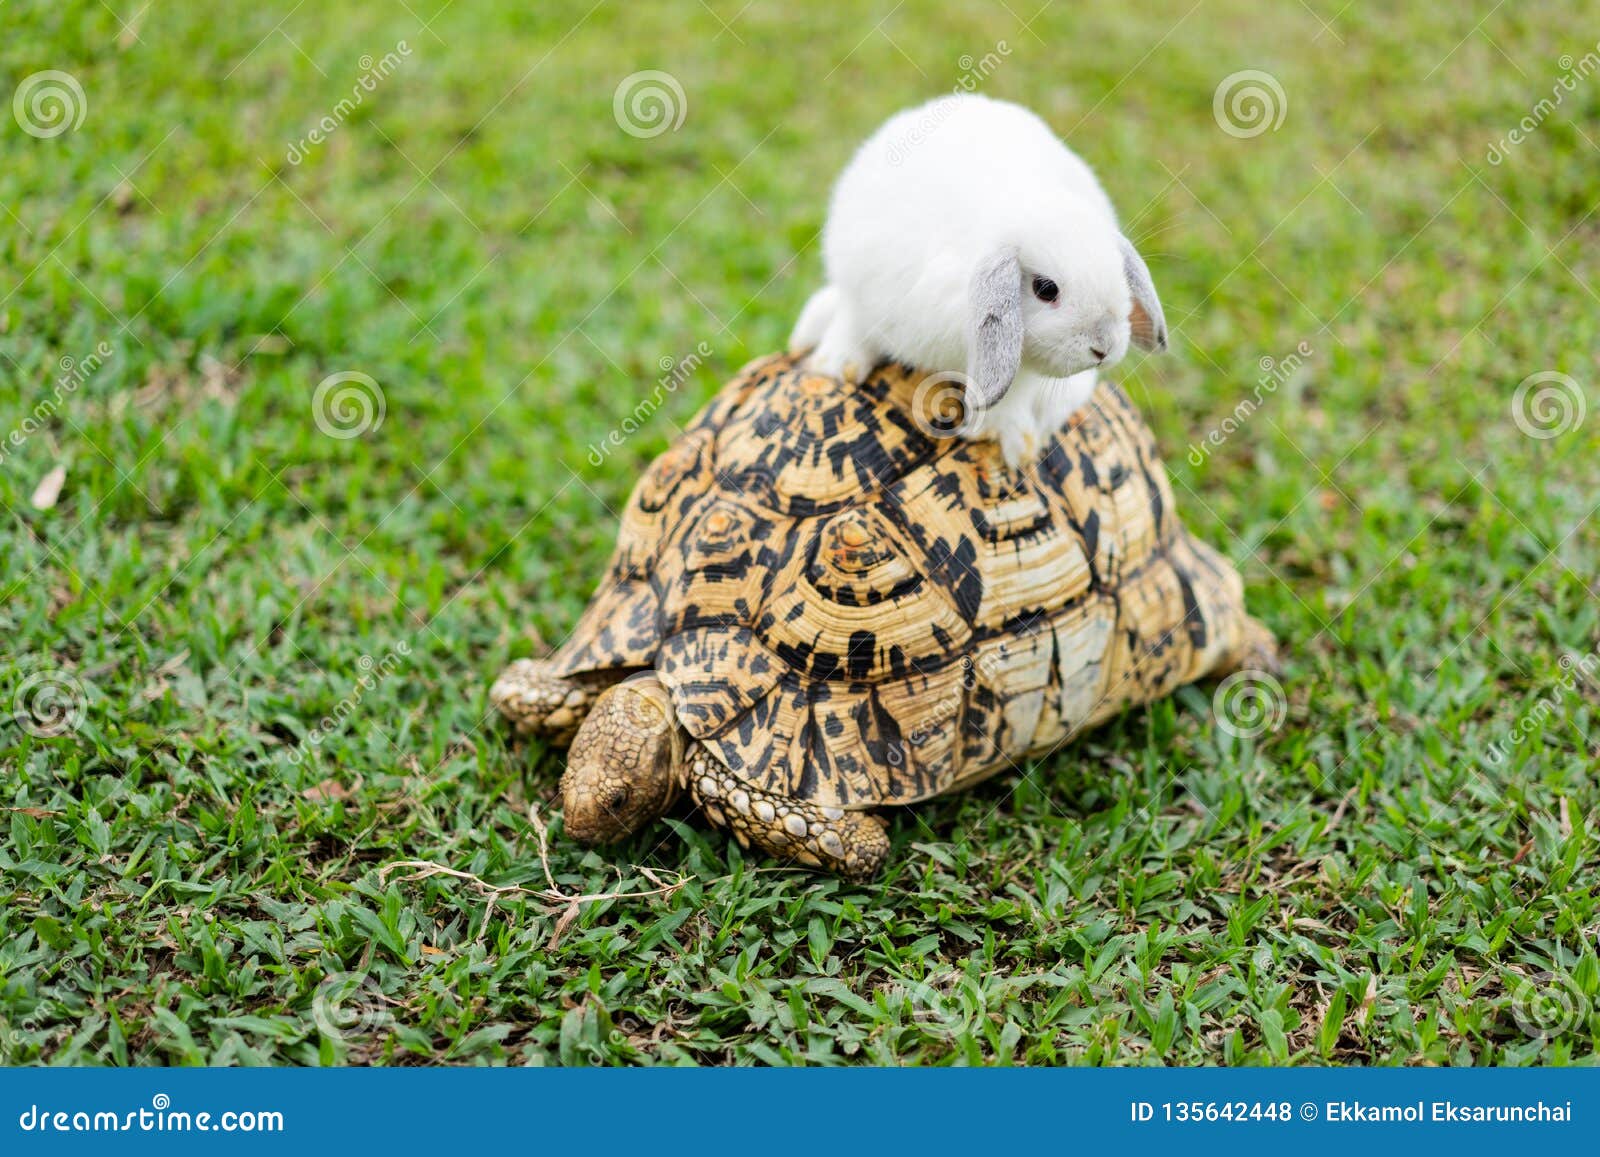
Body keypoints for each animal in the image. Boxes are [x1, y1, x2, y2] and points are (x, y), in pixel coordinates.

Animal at [790, 94, 1168, 467]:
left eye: (1121, 275)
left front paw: (1000, 437)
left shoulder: (1021, 370)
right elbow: (853, 325)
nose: (1103, 348)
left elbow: (1015, 395)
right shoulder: (867, 292)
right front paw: (834, 369)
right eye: (1046, 289)